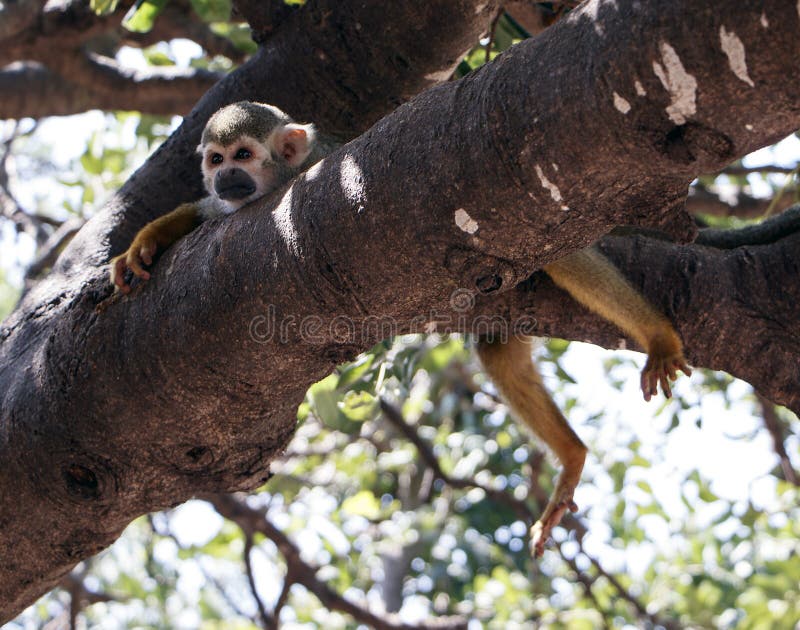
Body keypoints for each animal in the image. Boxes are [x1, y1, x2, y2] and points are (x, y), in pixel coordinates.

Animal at [109, 101, 690, 558]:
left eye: (244, 155)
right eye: (216, 159)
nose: (224, 176)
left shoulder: (313, 172)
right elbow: (206, 214)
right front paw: (147, 241)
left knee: (561, 255)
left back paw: (654, 337)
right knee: (500, 354)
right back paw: (570, 454)